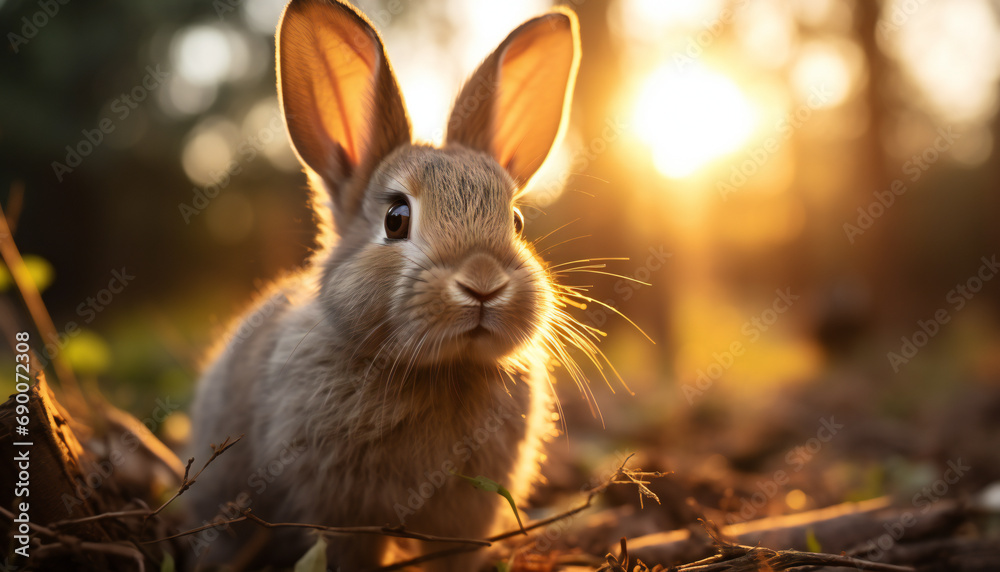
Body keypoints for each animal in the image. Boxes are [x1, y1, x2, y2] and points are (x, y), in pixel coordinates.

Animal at [185, 0, 580, 570]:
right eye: (396, 218)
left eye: (518, 221)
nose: (483, 283)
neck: (442, 370)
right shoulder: (343, 513)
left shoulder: (463, 522)